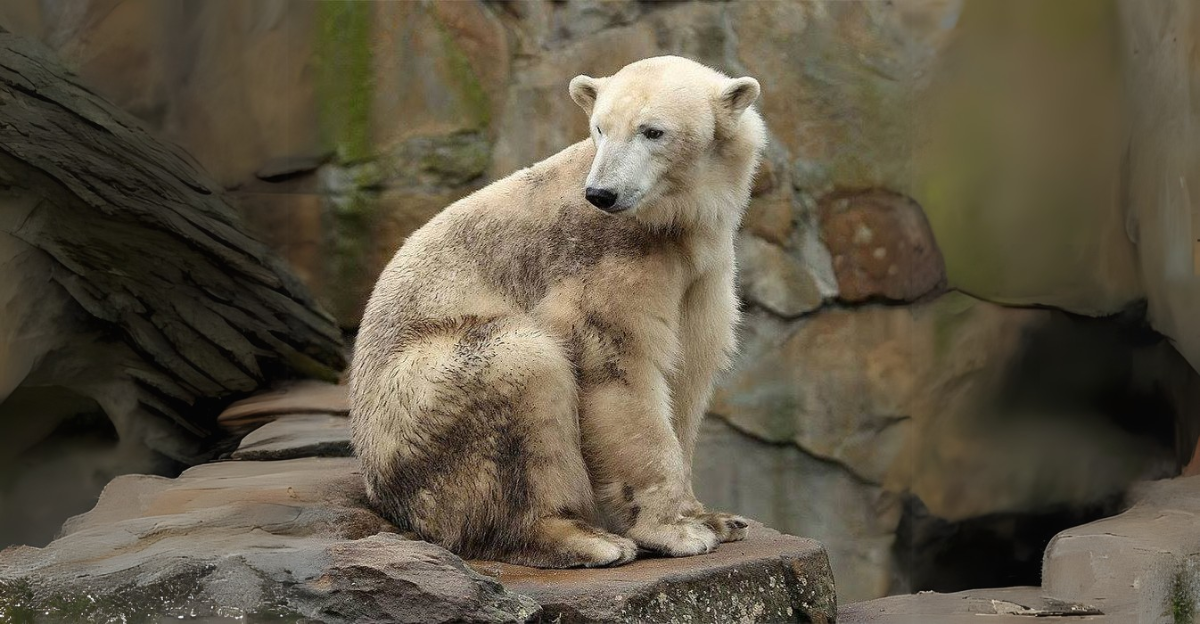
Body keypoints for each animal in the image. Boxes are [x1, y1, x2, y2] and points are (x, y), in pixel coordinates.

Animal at [350, 55, 767, 568]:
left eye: (652, 131)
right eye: (600, 127)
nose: (602, 194)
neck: (672, 220)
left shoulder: (701, 269)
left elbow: (688, 371)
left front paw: (716, 519)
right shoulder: (605, 260)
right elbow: (618, 365)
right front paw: (677, 532)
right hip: (414, 410)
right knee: (524, 366)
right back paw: (583, 538)